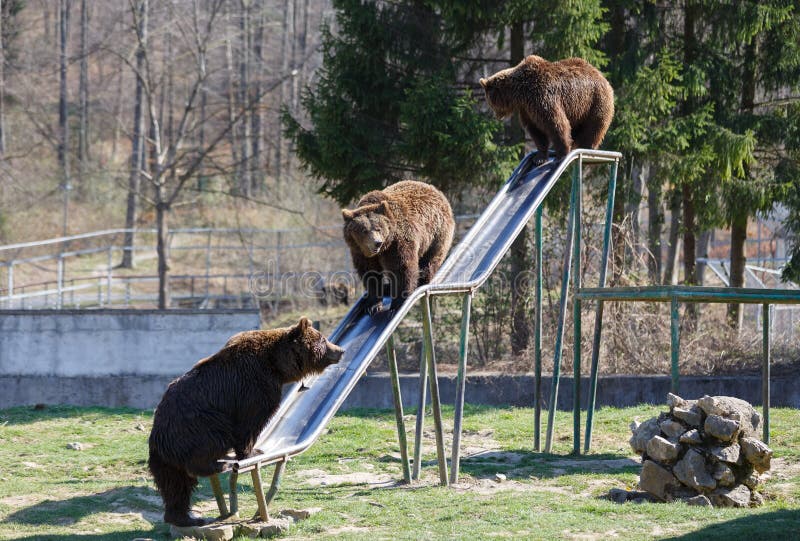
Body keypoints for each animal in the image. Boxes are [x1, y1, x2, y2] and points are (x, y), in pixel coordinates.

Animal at [148, 317, 344, 527]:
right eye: (323, 340)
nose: (340, 350)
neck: (277, 365)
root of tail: (159, 437)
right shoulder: (253, 388)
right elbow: (250, 422)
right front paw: (254, 451)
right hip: (199, 423)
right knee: (210, 443)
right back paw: (217, 466)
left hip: (165, 457)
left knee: (175, 485)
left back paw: (185, 517)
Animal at [342, 180, 455, 315]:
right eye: (364, 230)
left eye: (378, 228)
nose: (377, 242)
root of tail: (437, 191)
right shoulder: (360, 252)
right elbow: (370, 273)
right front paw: (373, 304)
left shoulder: (398, 243)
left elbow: (402, 268)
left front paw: (396, 304)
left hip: (436, 233)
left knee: (430, 260)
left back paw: (422, 279)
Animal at [480, 55, 614, 165]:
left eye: (489, 102)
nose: (497, 116)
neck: (520, 92)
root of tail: (601, 75)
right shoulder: (527, 109)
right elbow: (536, 131)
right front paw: (540, 157)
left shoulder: (541, 96)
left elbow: (555, 123)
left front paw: (561, 154)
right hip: (578, 110)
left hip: (594, 101)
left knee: (593, 127)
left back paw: (587, 147)